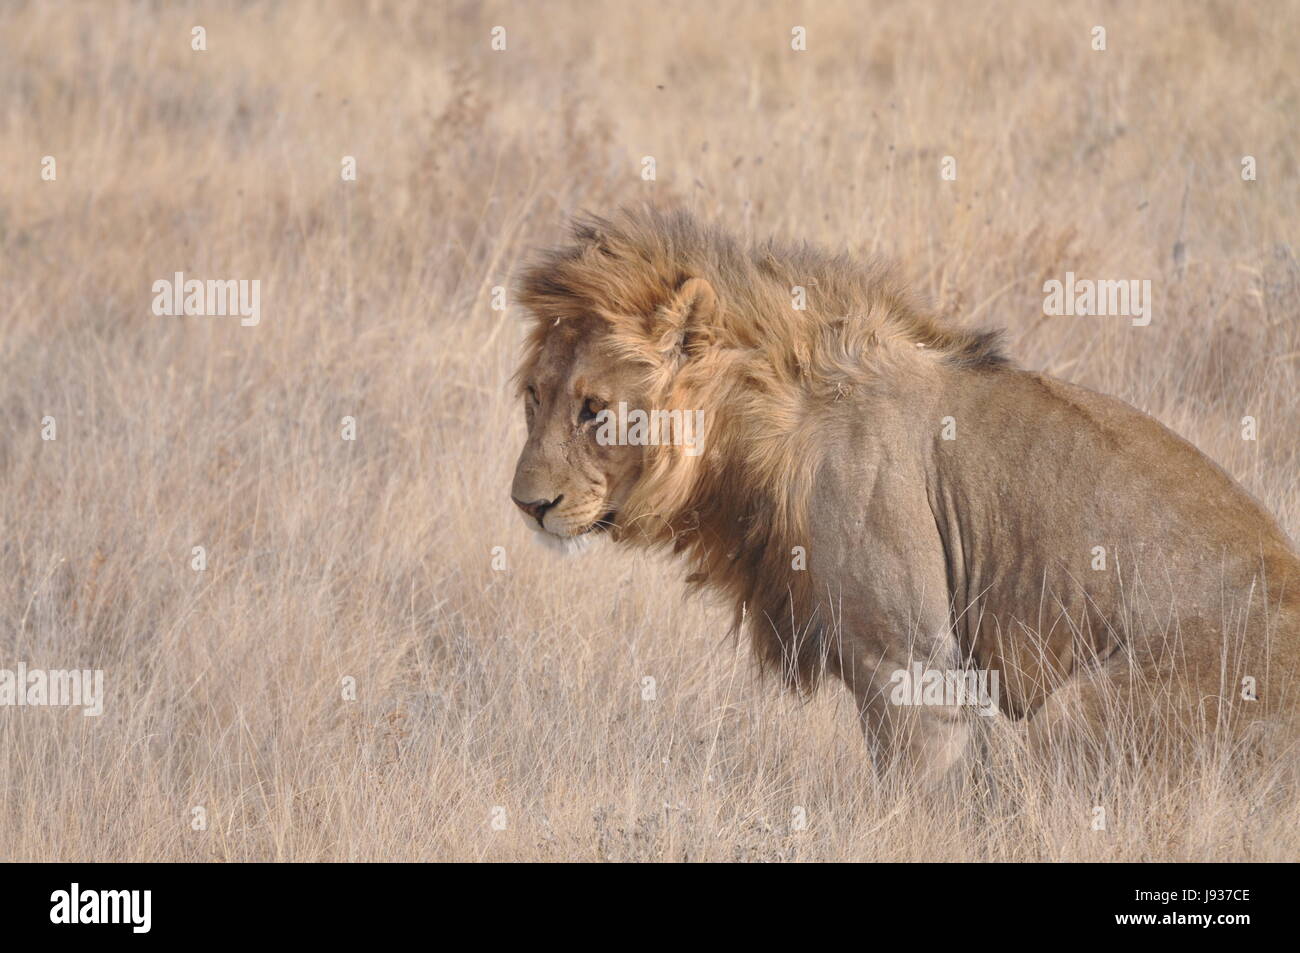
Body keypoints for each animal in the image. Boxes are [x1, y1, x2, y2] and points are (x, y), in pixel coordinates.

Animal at [509, 207, 1300, 780]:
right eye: (534, 398)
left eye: (594, 410)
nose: (527, 504)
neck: (761, 423)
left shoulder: (911, 664)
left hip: (1082, 707)